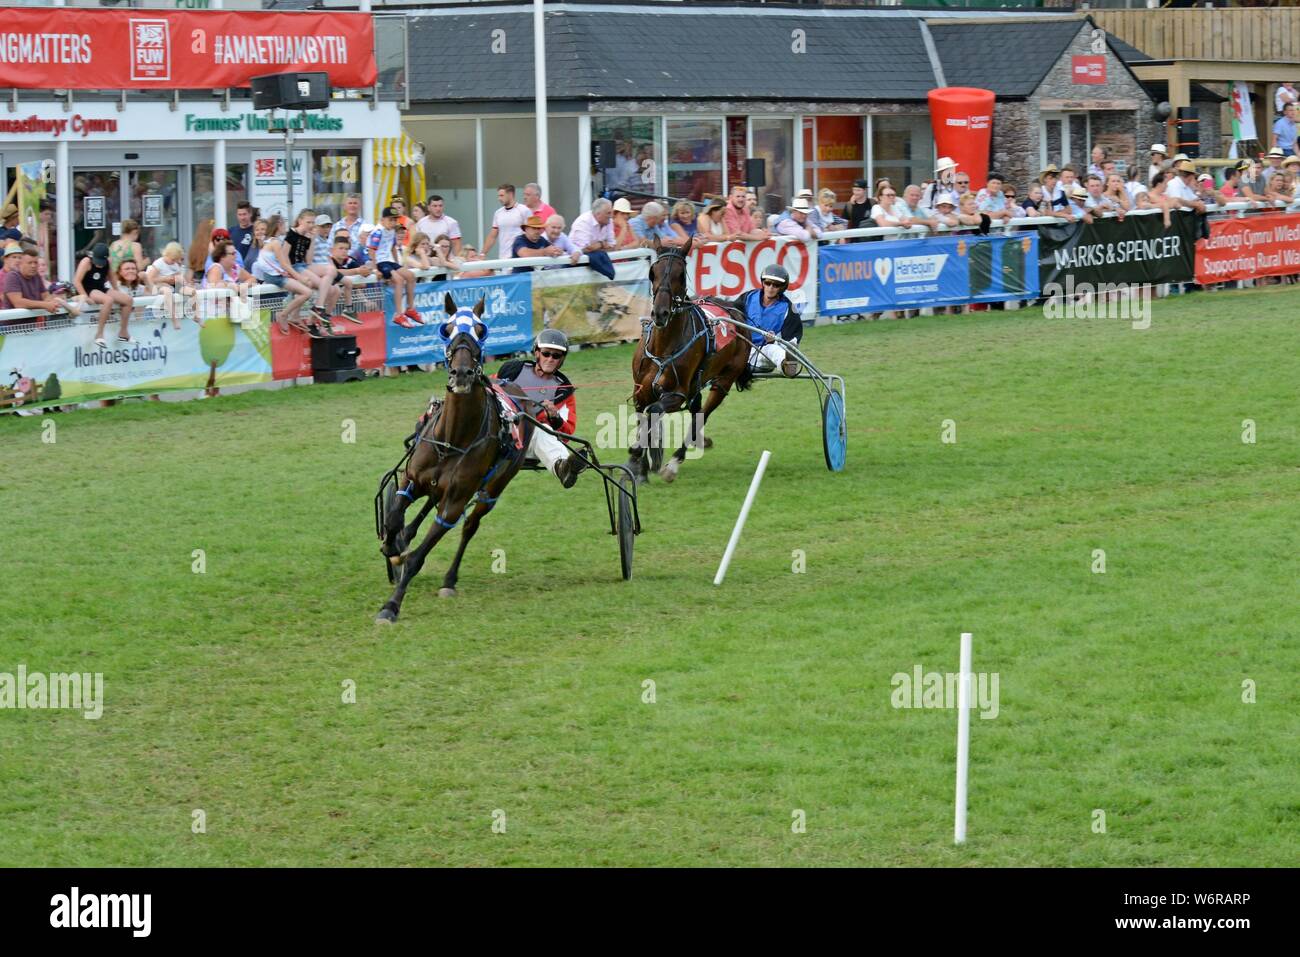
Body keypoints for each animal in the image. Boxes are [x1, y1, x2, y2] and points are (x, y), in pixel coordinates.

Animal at [375, 294, 531, 624]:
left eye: (481, 330)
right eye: (446, 328)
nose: (461, 373)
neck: (453, 439)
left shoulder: (455, 502)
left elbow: (419, 556)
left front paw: (391, 606)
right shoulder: (412, 479)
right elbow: (394, 516)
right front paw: (392, 546)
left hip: (491, 490)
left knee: (470, 525)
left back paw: (449, 580)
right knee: (422, 510)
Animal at [627, 236, 753, 484]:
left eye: (681, 274)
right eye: (653, 272)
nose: (660, 313)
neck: (663, 346)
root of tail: (734, 309)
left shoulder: (676, 394)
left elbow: (654, 411)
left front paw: (643, 457)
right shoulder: (640, 390)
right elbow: (642, 418)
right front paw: (640, 466)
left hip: (723, 381)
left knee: (702, 415)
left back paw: (675, 462)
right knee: (696, 409)